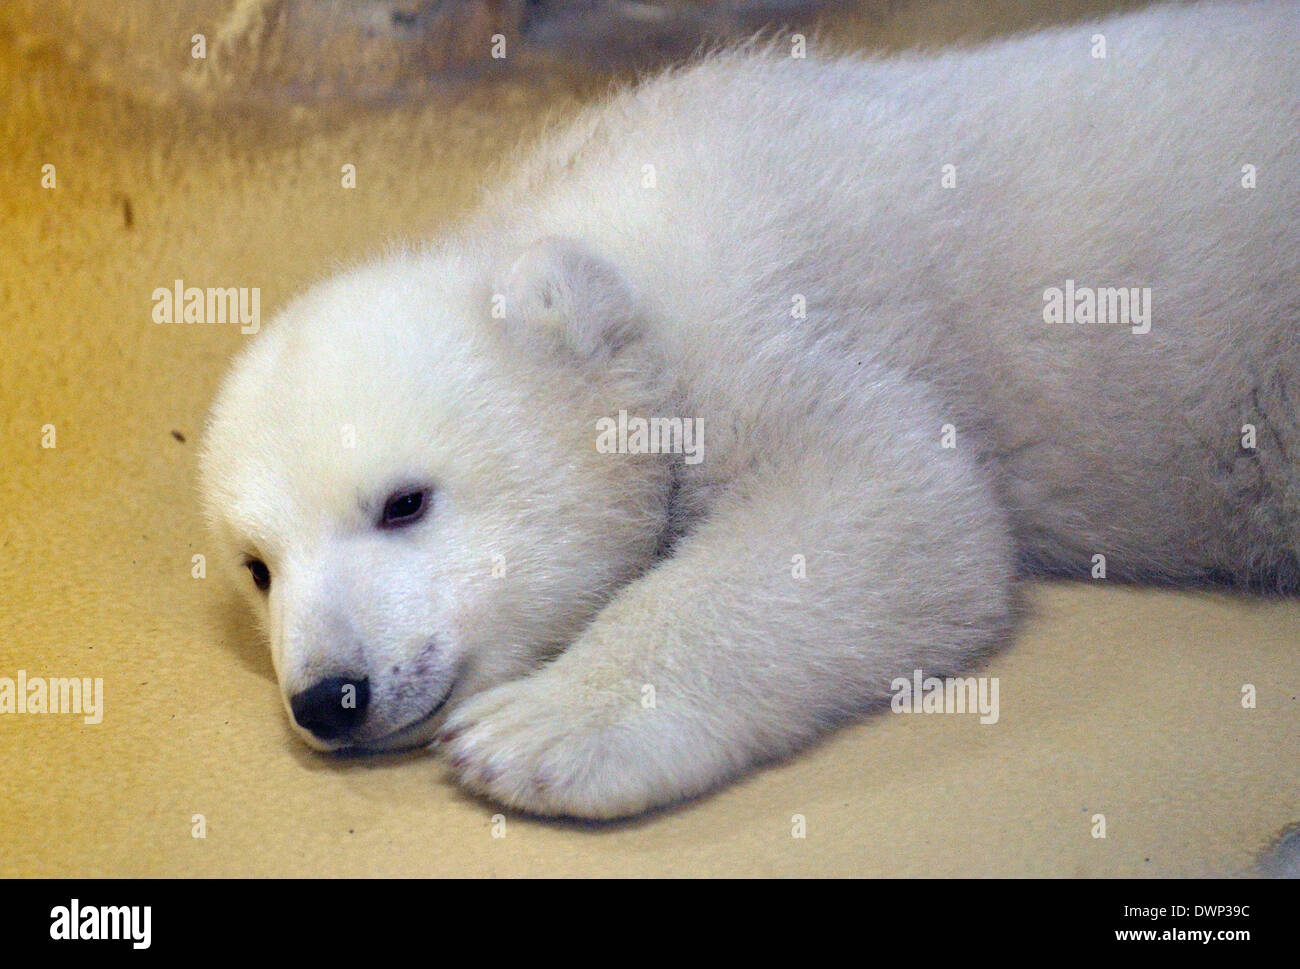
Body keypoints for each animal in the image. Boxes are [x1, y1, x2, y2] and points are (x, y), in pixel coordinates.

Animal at [200, 0, 1299, 819]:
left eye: (403, 502)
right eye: (258, 567)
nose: (330, 696)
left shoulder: (757, 306)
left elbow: (896, 504)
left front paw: (534, 731)